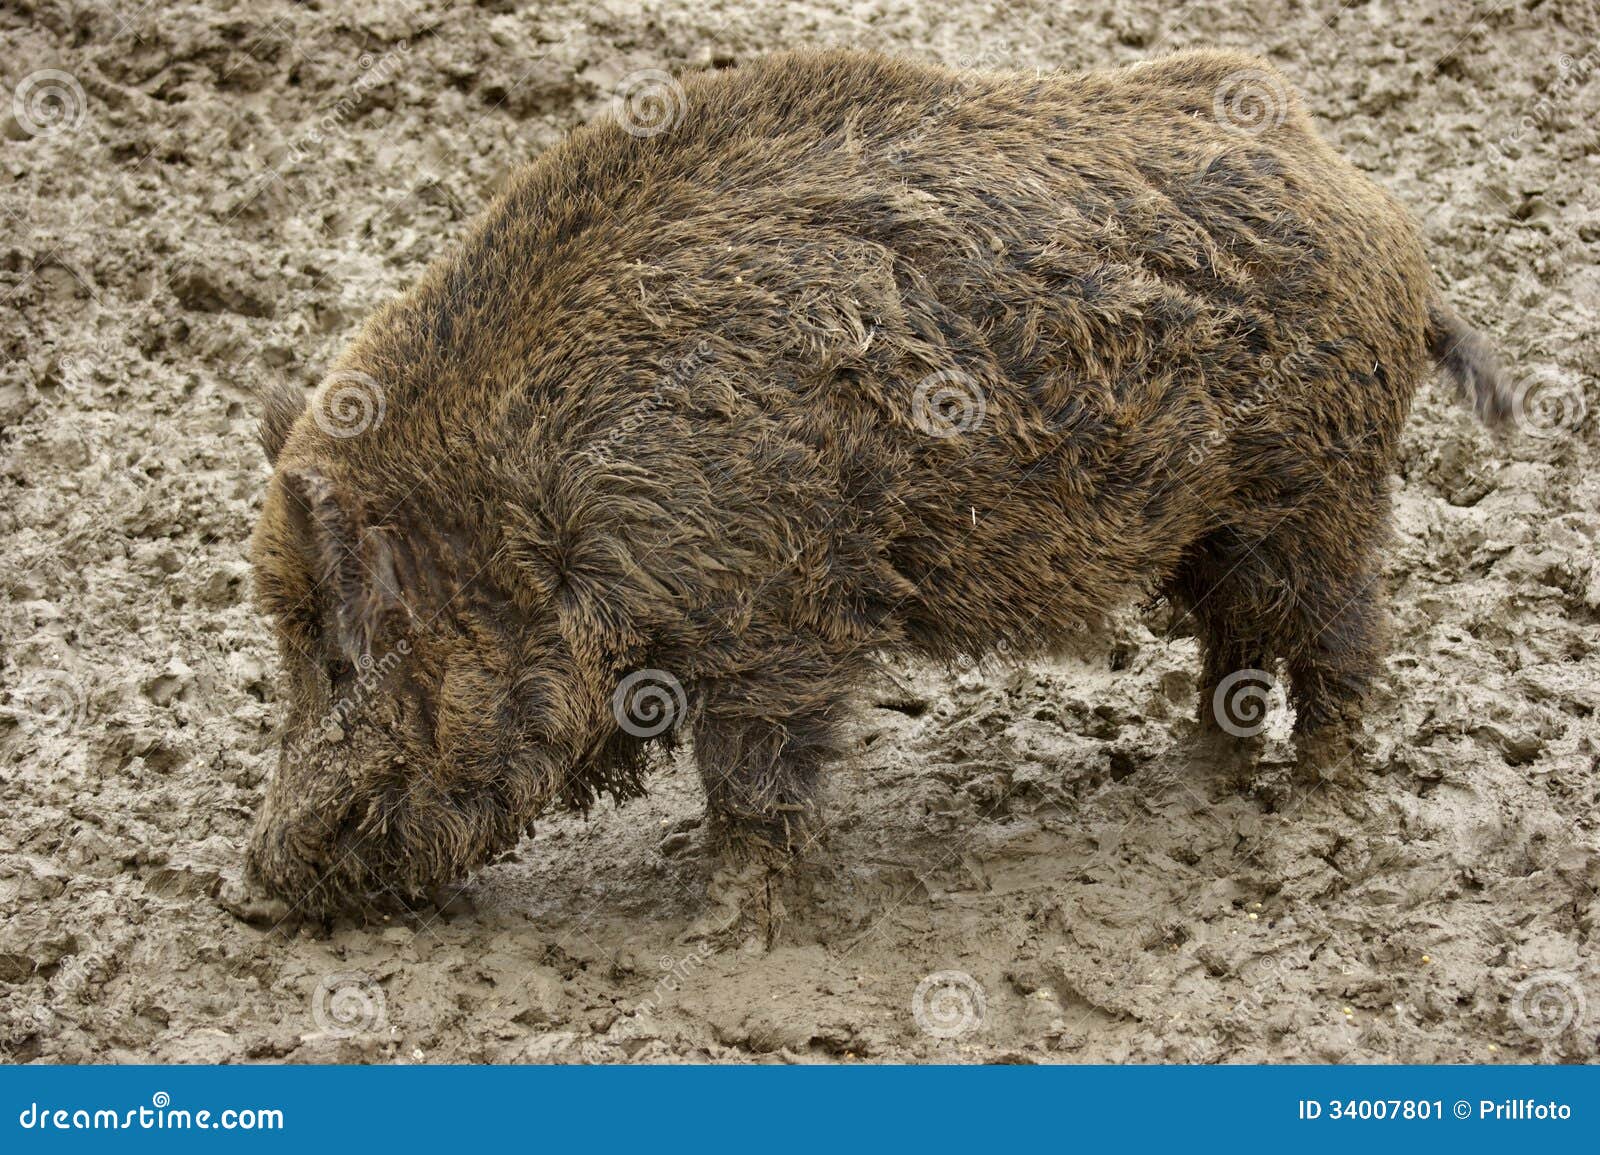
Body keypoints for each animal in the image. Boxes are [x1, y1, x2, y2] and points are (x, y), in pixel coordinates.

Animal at [241, 47, 1509, 921]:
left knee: (1340, 643)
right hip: (1219, 525)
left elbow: (755, 777)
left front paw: (719, 928)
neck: (546, 499)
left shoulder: (780, 615)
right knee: (1235, 644)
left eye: (341, 655)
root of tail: (1372, 203)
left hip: (1323, 494)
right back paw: (1192, 784)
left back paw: (1317, 815)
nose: (251, 887)